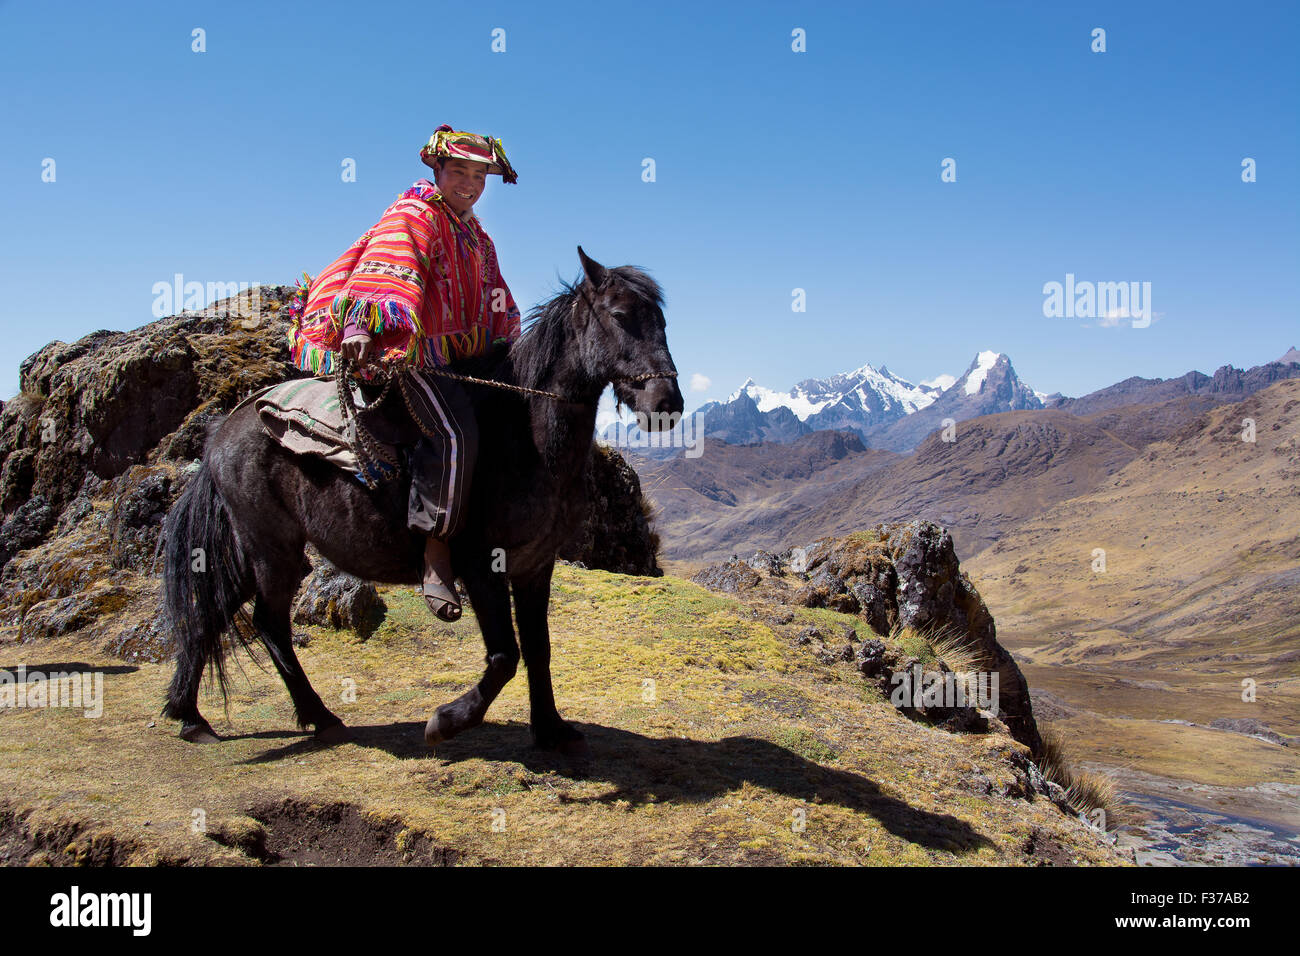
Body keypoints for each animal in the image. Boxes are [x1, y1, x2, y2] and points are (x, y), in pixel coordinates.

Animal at [160, 247, 683, 755]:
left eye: (661, 321)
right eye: (620, 316)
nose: (668, 404)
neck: (525, 434)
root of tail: (222, 431)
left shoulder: (535, 564)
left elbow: (539, 648)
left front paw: (551, 729)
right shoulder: (481, 564)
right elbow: (505, 656)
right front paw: (446, 722)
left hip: (256, 551)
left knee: (213, 612)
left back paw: (190, 715)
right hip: (274, 551)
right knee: (269, 624)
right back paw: (319, 717)